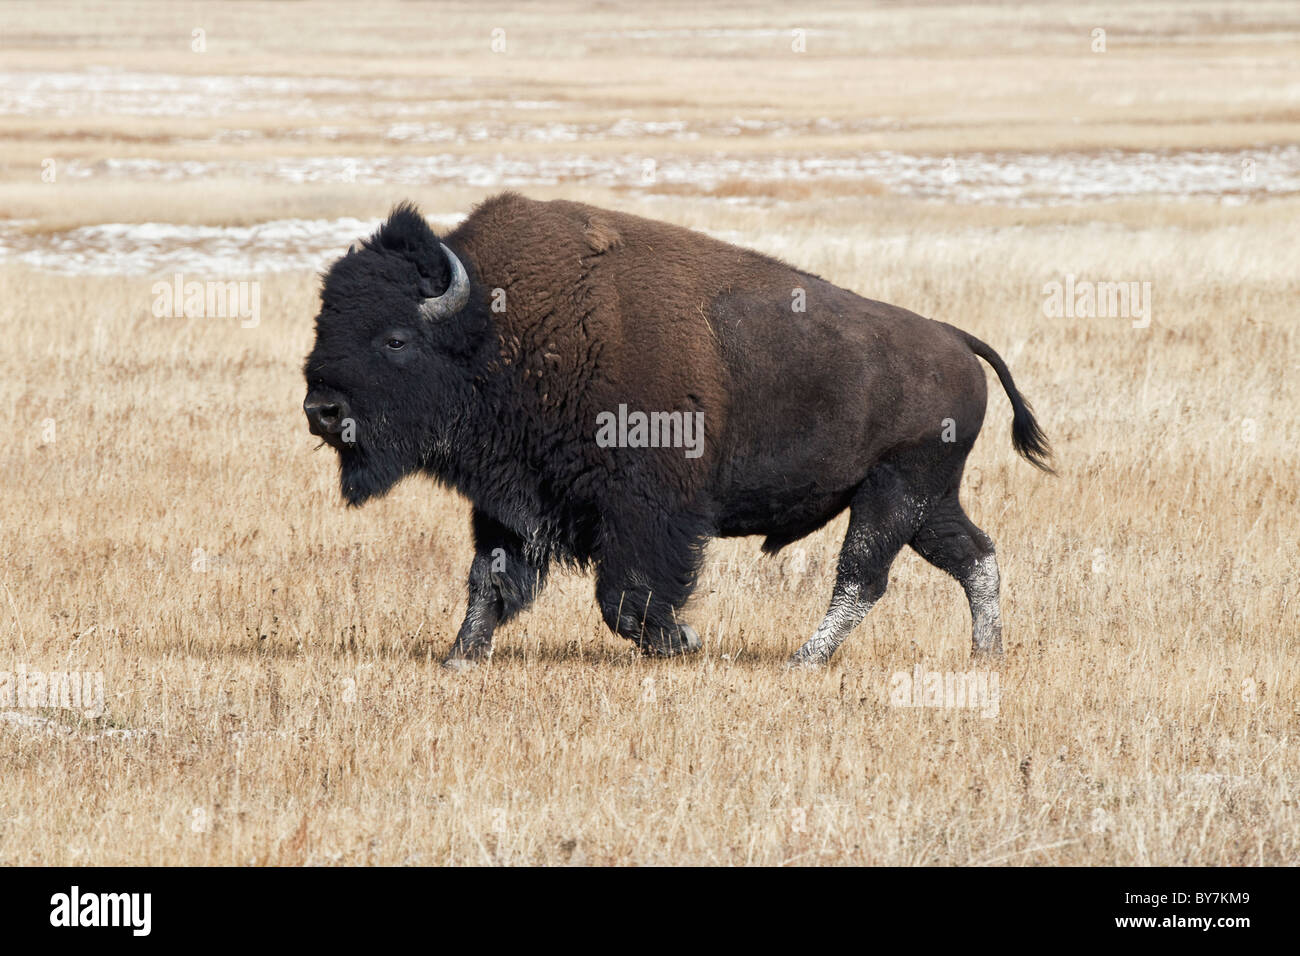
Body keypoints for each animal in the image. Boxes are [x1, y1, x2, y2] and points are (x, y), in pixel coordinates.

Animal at [303, 194, 1052, 668]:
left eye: (396, 338)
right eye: (324, 322)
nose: (321, 409)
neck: (497, 327)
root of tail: (954, 340)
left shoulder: (646, 511)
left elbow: (625, 598)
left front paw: (683, 642)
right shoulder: (509, 504)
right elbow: (489, 581)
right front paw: (459, 659)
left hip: (894, 492)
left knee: (863, 577)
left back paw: (802, 661)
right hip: (927, 501)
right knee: (974, 556)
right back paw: (986, 655)